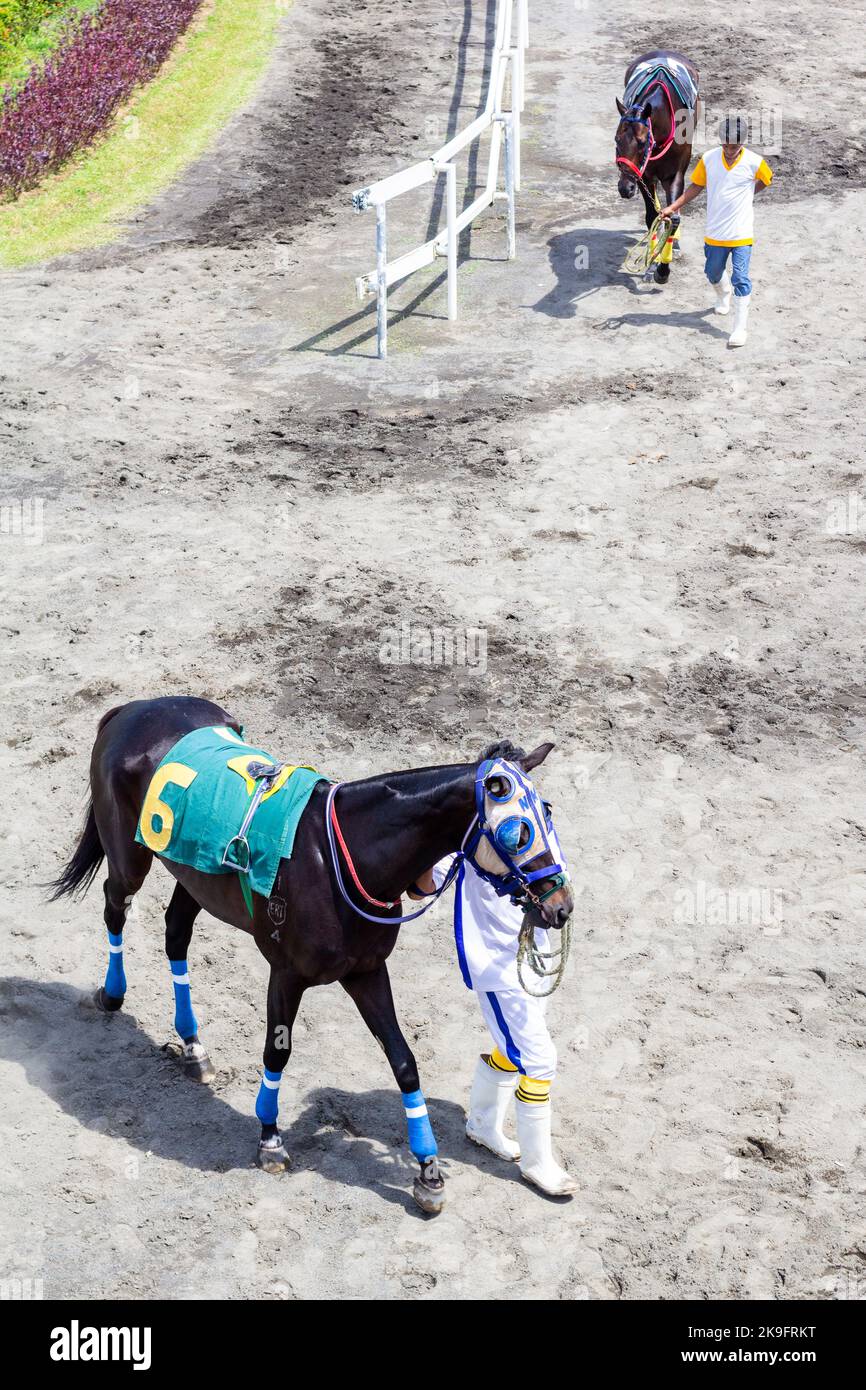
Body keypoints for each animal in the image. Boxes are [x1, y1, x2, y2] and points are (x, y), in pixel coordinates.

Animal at [48, 696, 574, 1215]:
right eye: (519, 832)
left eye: (550, 814)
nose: (561, 906)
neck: (344, 858)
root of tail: (133, 708)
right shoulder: (286, 973)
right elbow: (277, 1051)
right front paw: (270, 1138)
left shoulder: (367, 971)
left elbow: (403, 1061)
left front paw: (428, 1170)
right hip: (129, 858)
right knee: (115, 906)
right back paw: (112, 993)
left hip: (194, 877)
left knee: (176, 934)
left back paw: (194, 1046)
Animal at [615, 49, 700, 283]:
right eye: (617, 140)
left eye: (642, 142)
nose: (625, 187)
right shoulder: (644, 175)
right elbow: (653, 215)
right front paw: (654, 262)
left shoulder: (675, 174)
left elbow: (674, 217)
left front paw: (663, 268)